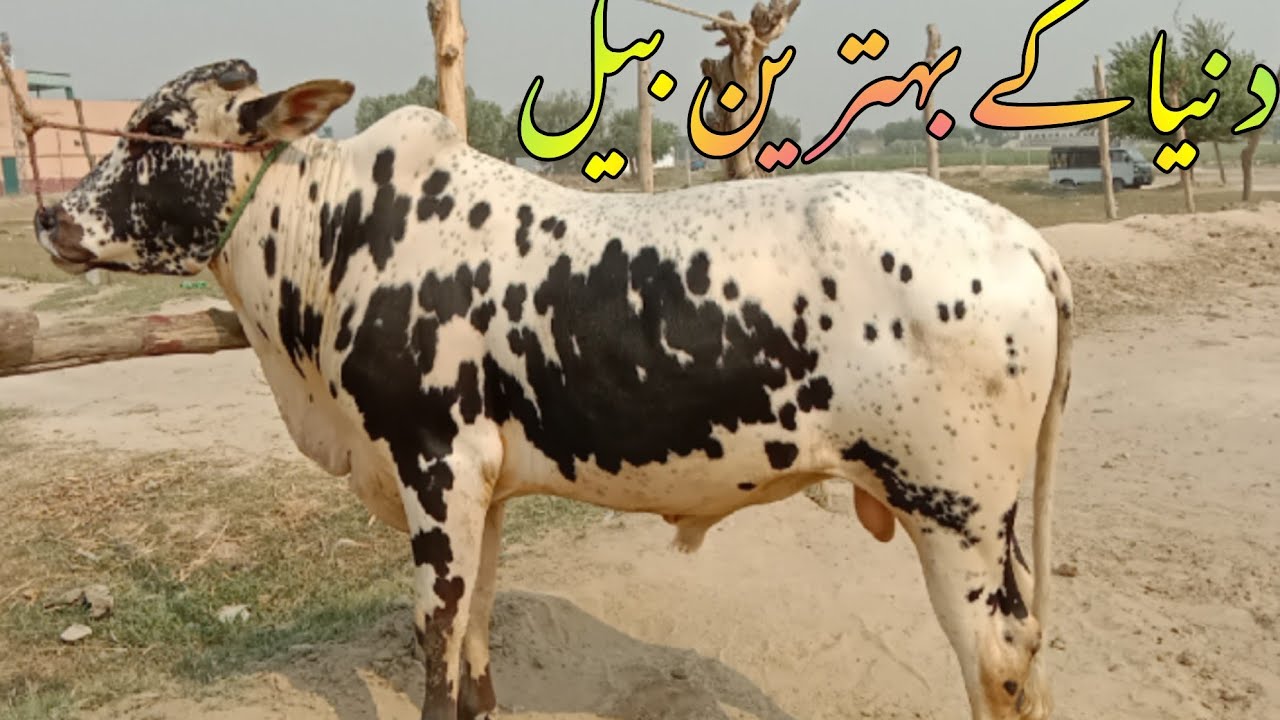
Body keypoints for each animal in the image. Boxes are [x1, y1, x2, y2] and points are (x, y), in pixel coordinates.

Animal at [33, 59, 1073, 720]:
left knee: (999, 663)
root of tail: (1016, 234)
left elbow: (436, 632)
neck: (334, 241)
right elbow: (479, 629)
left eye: (159, 130)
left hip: (954, 510)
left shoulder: (435, 465)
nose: (48, 215)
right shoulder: (483, 486)